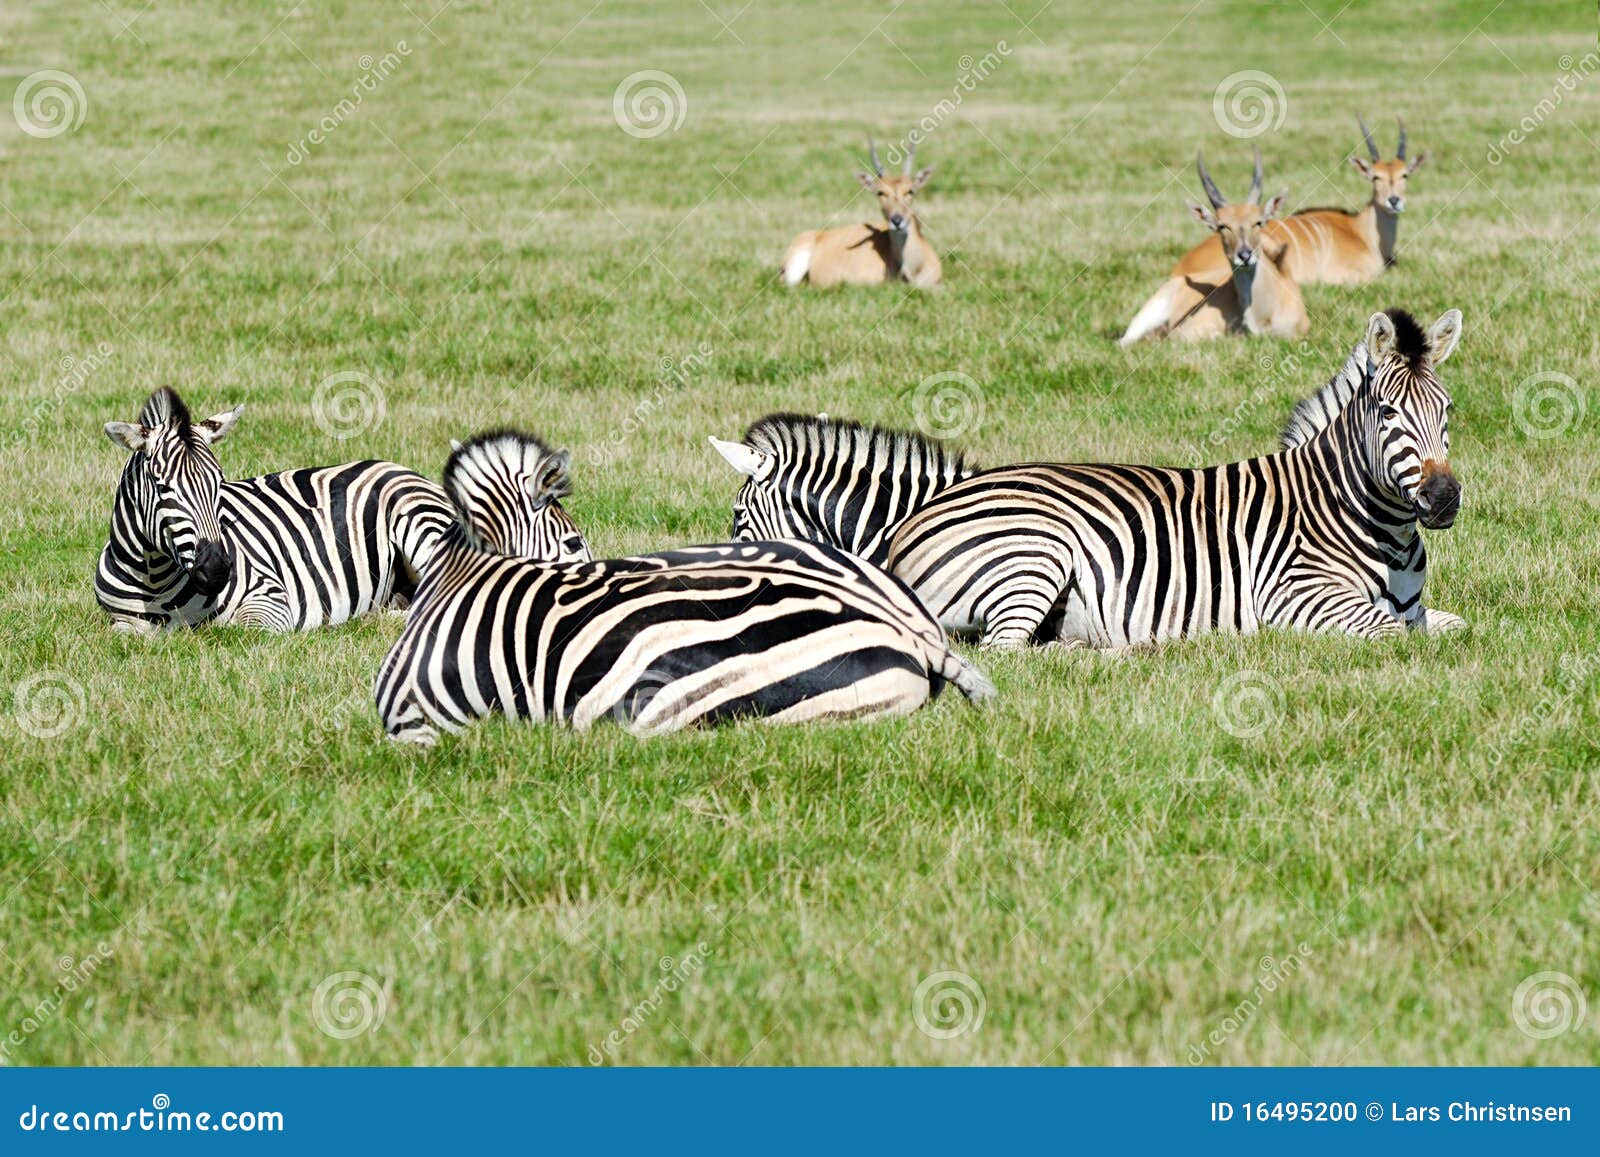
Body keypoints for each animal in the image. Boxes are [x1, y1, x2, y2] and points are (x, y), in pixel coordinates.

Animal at [95, 387, 539, 633]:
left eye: (220, 484)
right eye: (162, 486)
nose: (220, 569)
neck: (156, 580)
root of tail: (399, 467)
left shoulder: (270, 597)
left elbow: (234, 629)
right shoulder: (118, 624)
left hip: (420, 526)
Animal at [712, 308, 1467, 649]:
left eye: (1449, 411)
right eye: (1389, 411)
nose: (1443, 498)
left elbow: (1452, 627)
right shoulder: (1298, 600)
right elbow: (1402, 636)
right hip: (1033, 555)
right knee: (1015, 652)